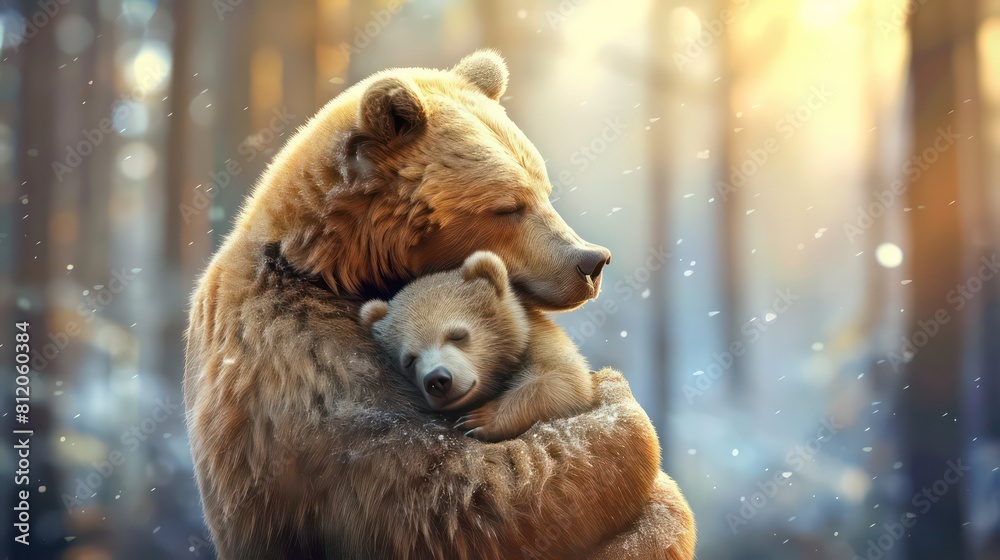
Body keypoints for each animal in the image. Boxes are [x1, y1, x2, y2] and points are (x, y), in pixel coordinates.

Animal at [359, 251, 594, 443]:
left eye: (457, 335)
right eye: (409, 359)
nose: (437, 380)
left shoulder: (538, 340)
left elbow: (564, 380)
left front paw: (478, 419)